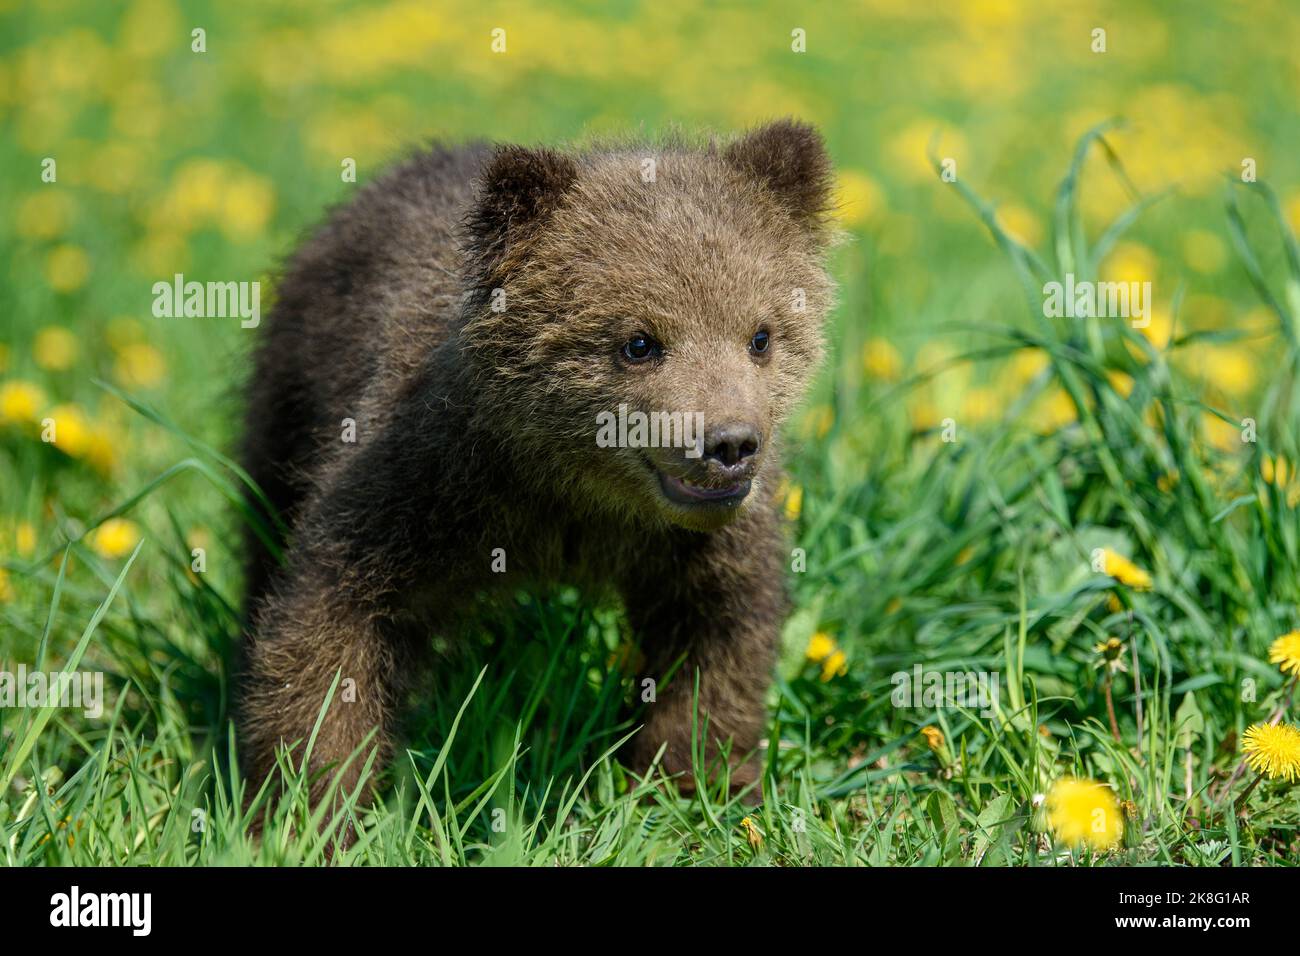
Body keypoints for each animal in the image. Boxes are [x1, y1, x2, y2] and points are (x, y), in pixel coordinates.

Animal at [238, 120, 837, 816]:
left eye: (761, 335)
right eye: (639, 341)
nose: (730, 443)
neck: (576, 492)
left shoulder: (703, 543)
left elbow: (718, 632)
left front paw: (695, 782)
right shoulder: (421, 485)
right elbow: (331, 625)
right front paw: (307, 804)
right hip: (289, 395)